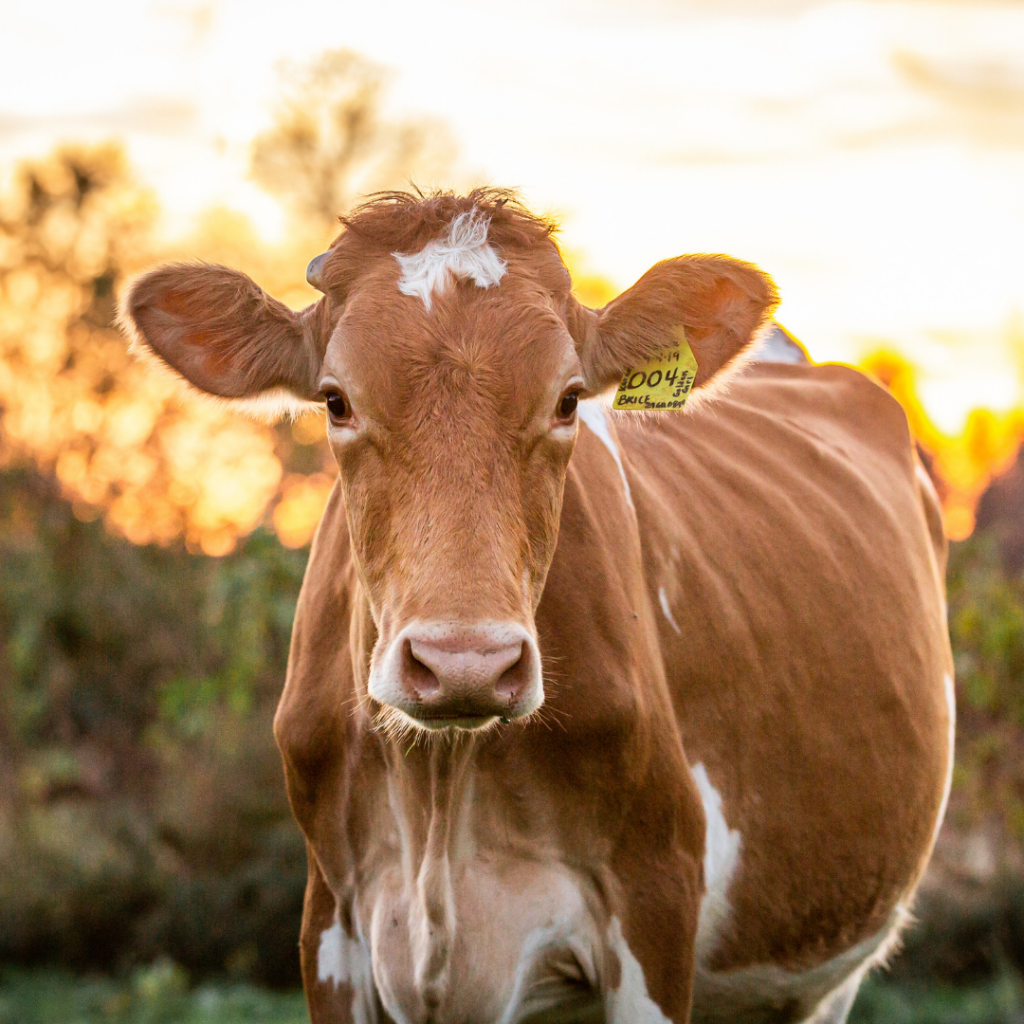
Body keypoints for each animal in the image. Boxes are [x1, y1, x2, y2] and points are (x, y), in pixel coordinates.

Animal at [121, 189, 954, 1024]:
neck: (438, 792)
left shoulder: (654, 905)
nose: (466, 663)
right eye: (336, 401)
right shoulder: (330, 926)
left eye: (568, 401)